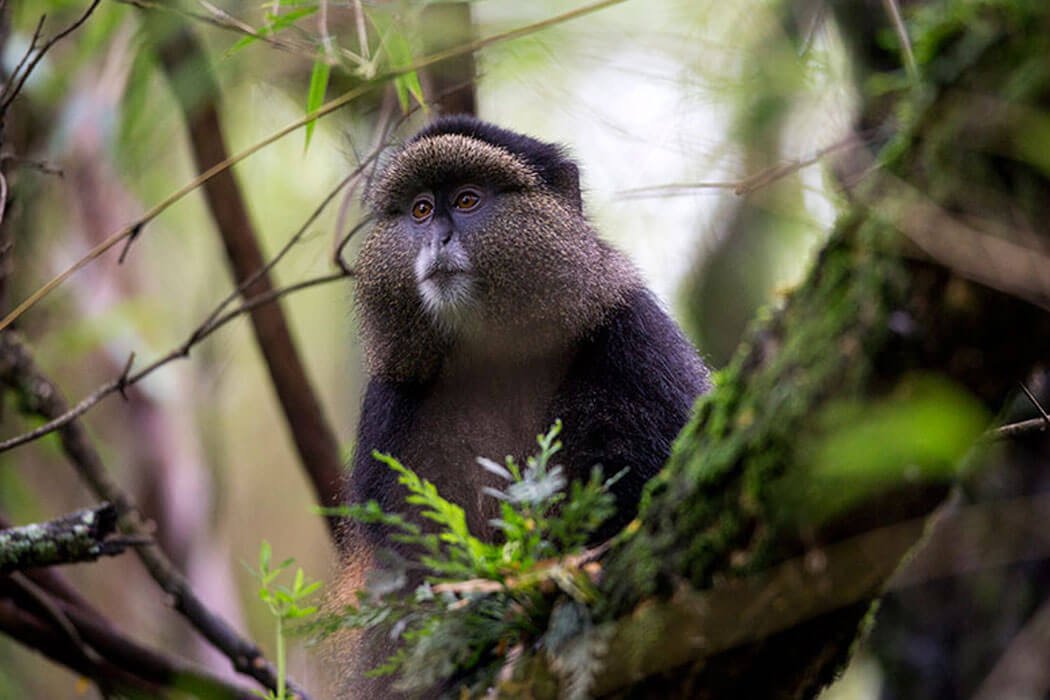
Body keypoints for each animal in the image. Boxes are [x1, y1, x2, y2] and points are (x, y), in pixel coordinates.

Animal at [335, 115, 710, 695]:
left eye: (467, 200)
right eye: (420, 210)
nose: (439, 237)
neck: (493, 354)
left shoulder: (634, 336)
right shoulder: (390, 402)